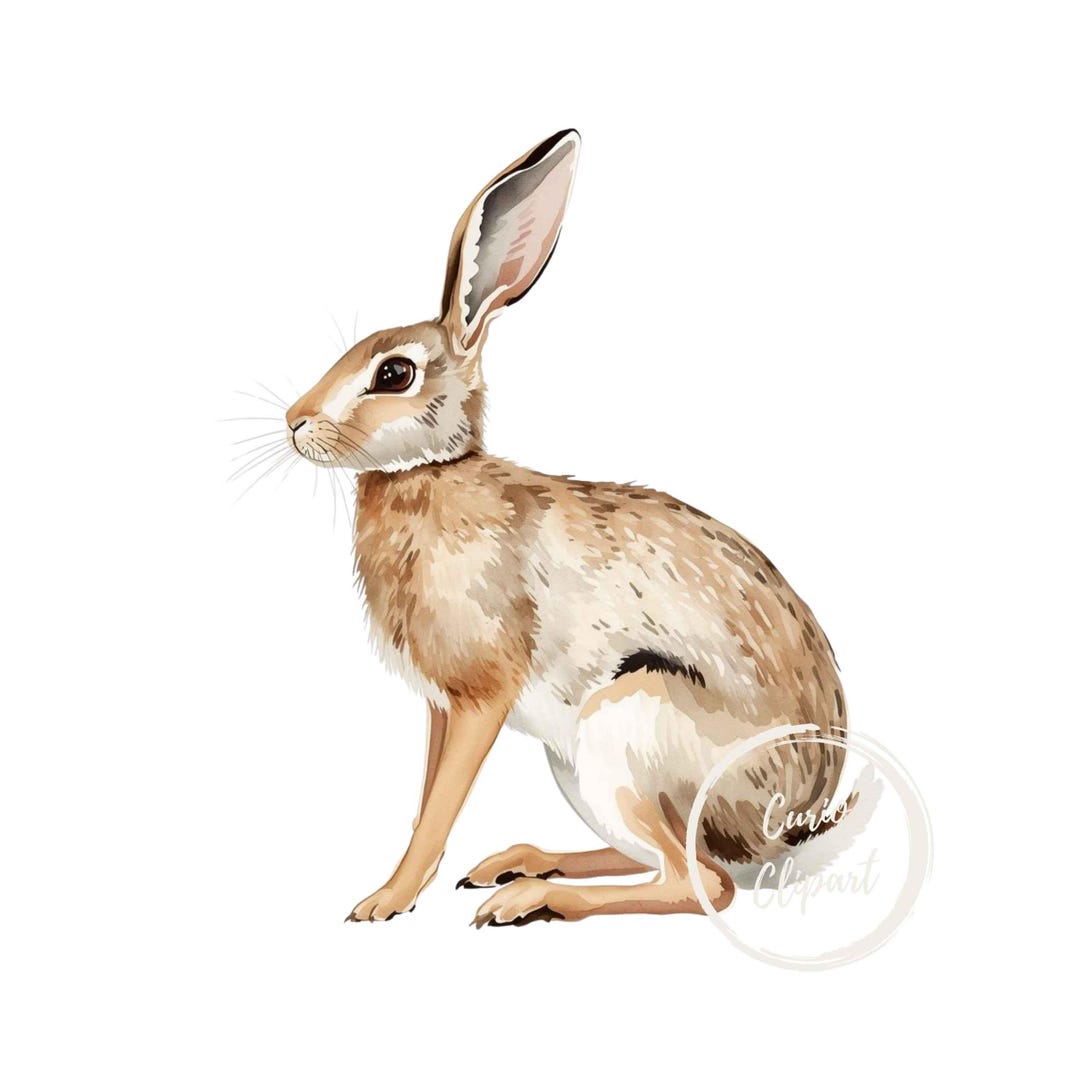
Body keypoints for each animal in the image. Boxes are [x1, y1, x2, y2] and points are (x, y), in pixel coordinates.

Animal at [281, 130, 850, 927]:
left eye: (393, 374)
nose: (294, 422)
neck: (432, 476)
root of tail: (794, 819)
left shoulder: (480, 695)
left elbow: (440, 805)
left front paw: (382, 901)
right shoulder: (440, 705)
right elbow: (427, 794)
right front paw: (404, 891)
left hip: (624, 723)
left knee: (702, 882)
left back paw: (529, 899)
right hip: (575, 765)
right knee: (671, 862)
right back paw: (516, 862)